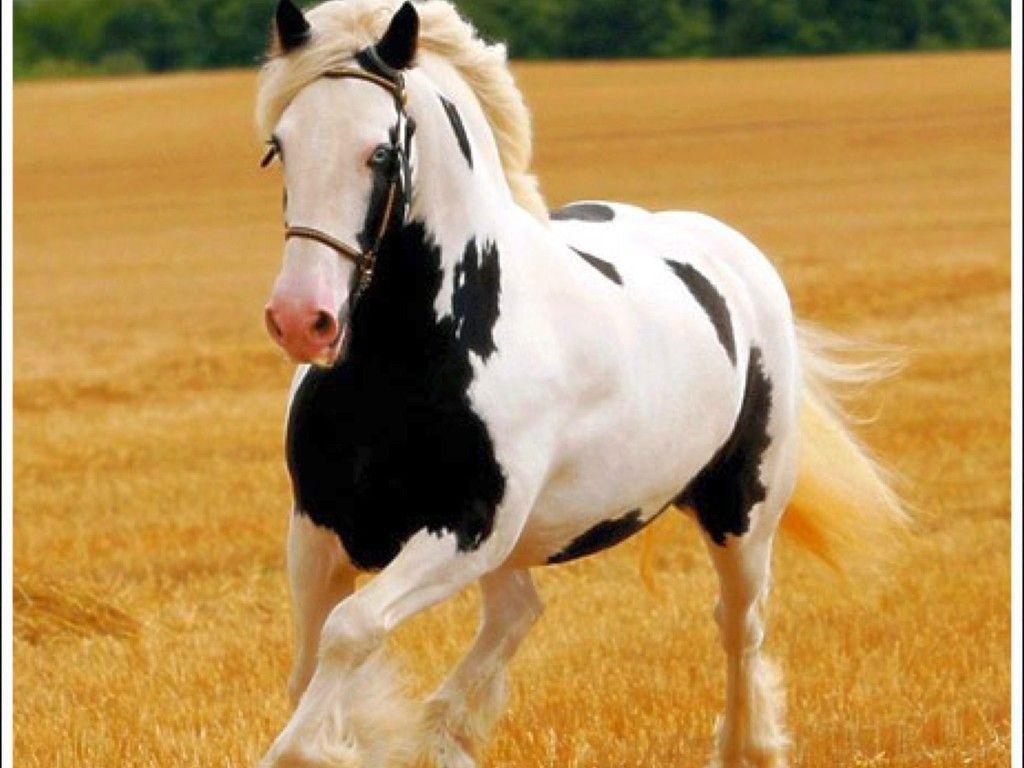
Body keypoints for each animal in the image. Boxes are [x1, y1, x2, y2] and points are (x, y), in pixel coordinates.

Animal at [255, 1, 905, 766]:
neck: (412, 358)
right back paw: (446, 734)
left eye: (380, 153)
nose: (303, 319)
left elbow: (349, 633)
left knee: (738, 625)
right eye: (280, 145)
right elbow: (310, 664)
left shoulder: (464, 532)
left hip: (742, 510)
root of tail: (734, 254)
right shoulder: (318, 526)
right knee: (518, 613)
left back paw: (747, 746)